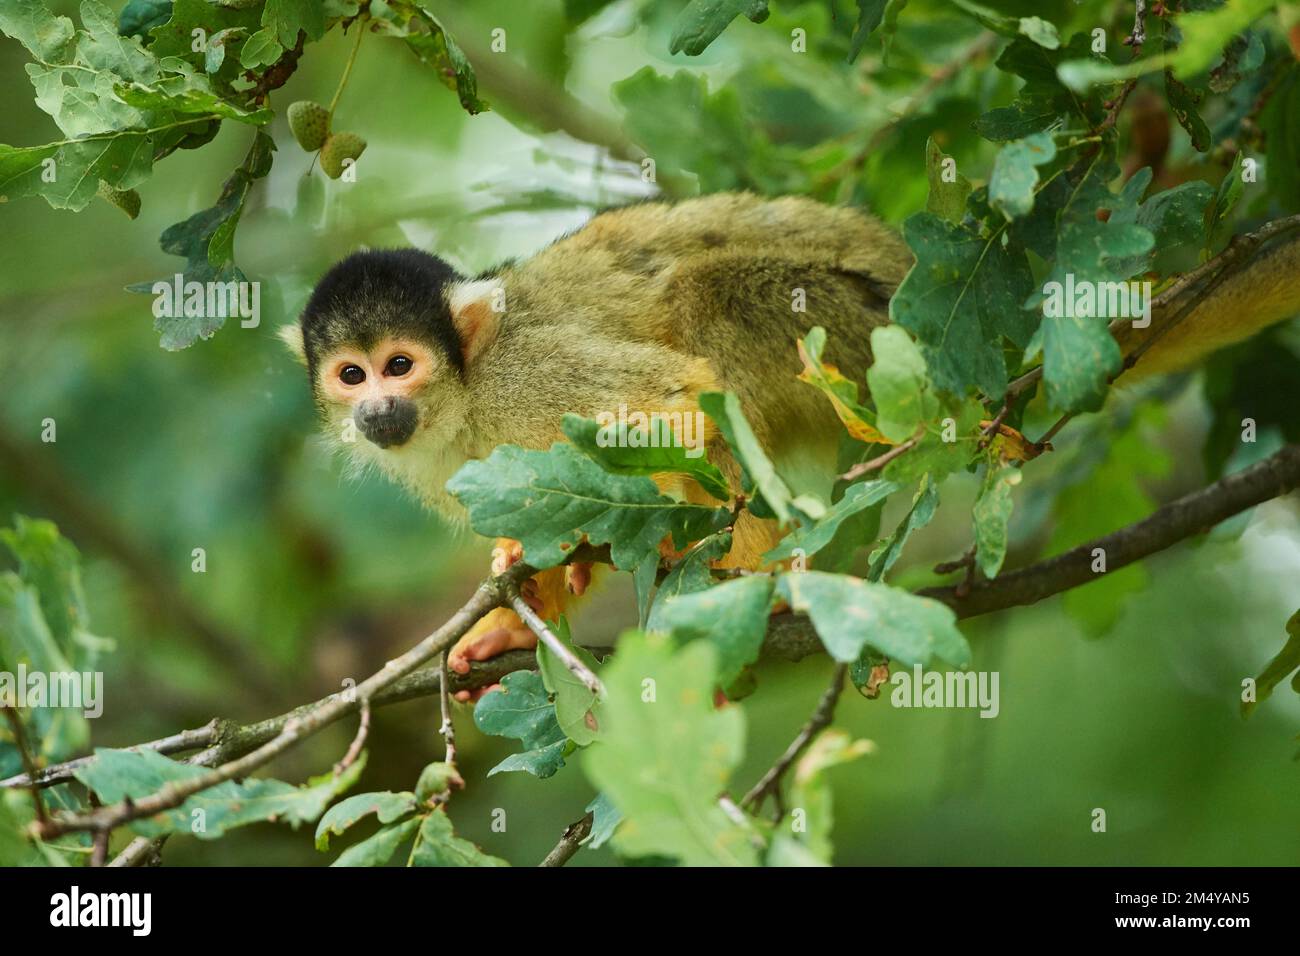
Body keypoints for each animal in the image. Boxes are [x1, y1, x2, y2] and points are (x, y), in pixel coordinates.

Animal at [280, 191, 1300, 693]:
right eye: (352, 375)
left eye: (401, 364)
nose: (378, 410)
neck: (463, 405)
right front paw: (514, 608)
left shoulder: (528, 379)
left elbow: (677, 404)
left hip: (870, 340)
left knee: (712, 301)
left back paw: (758, 565)